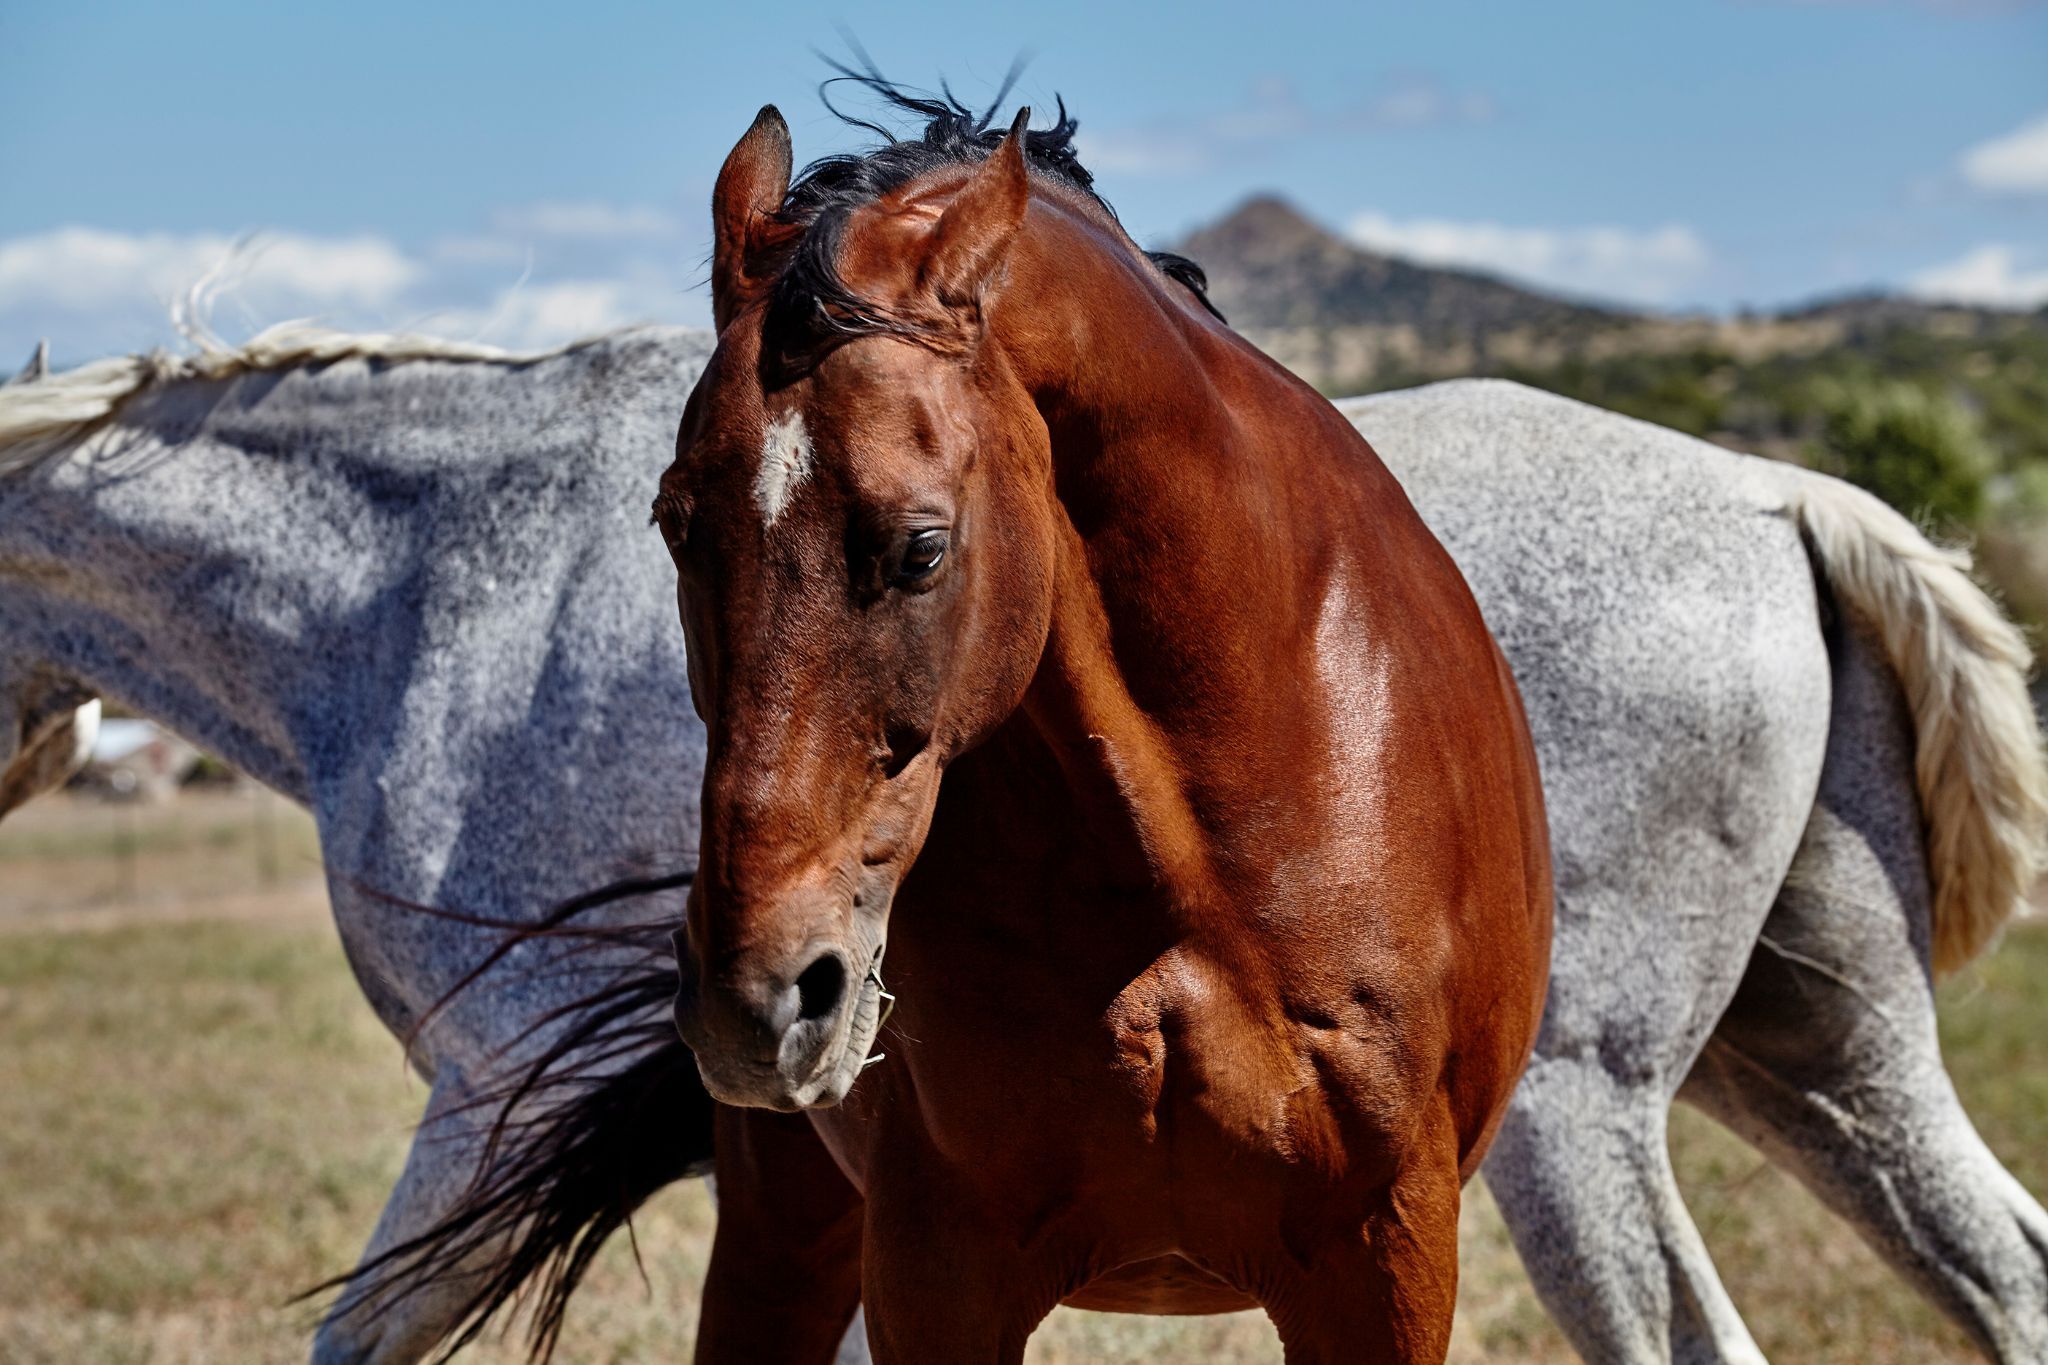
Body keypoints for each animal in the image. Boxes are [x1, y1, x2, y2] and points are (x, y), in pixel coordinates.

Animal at [2, 329, 2043, 1358]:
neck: (439, 573)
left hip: (1571, 1126)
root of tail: (1775, 491)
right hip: (1821, 1064)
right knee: (2002, 1267)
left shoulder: (489, 1098)